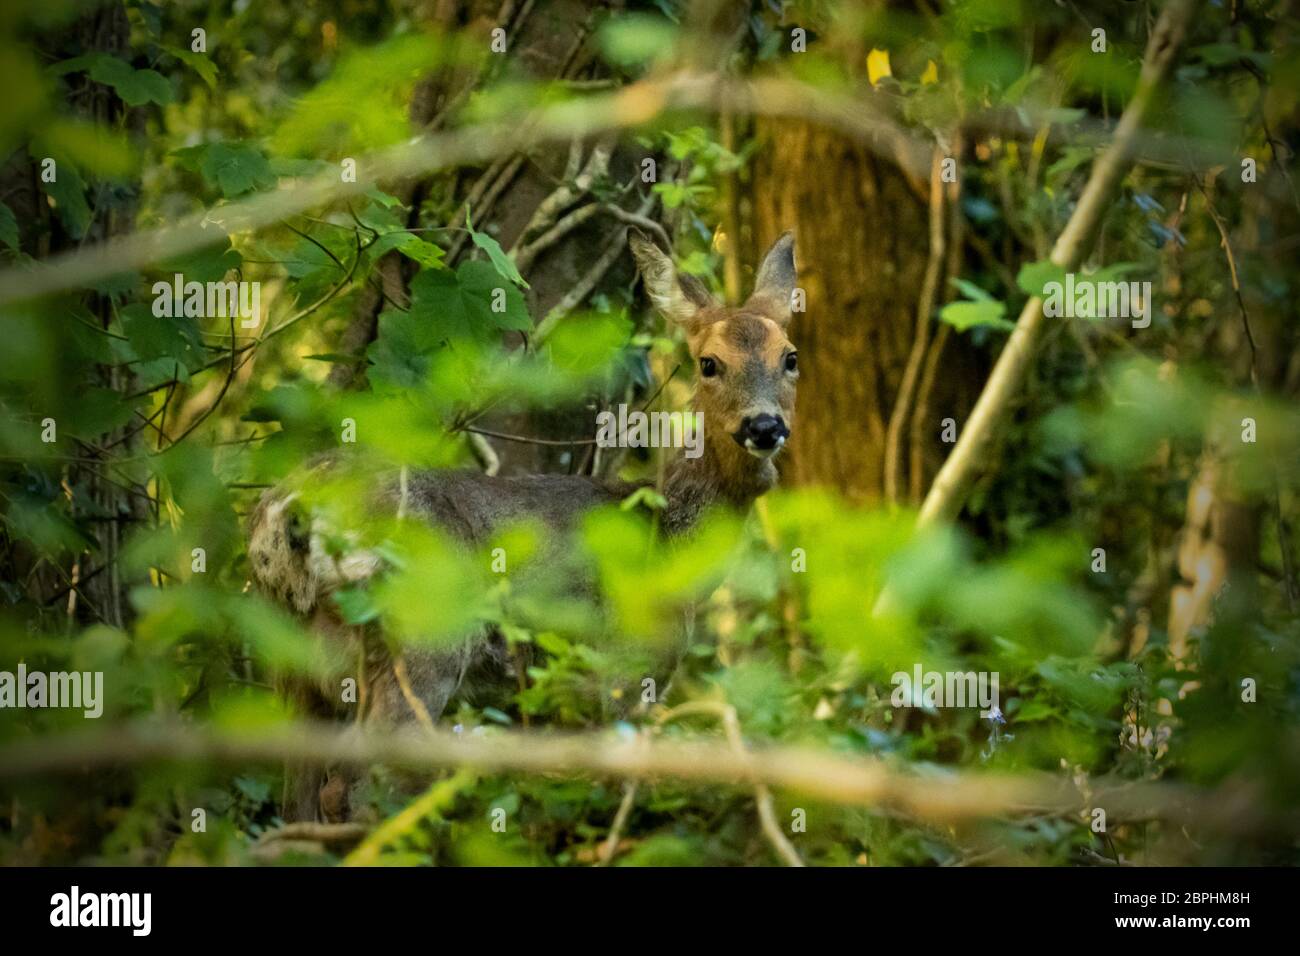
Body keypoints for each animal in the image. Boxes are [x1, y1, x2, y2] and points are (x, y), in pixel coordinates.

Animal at [246, 229, 800, 822]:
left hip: (293, 663)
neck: (669, 536)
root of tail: (293, 513)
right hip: (424, 637)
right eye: (709, 363)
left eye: (790, 357)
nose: (764, 426)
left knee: (300, 793)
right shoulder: (626, 668)